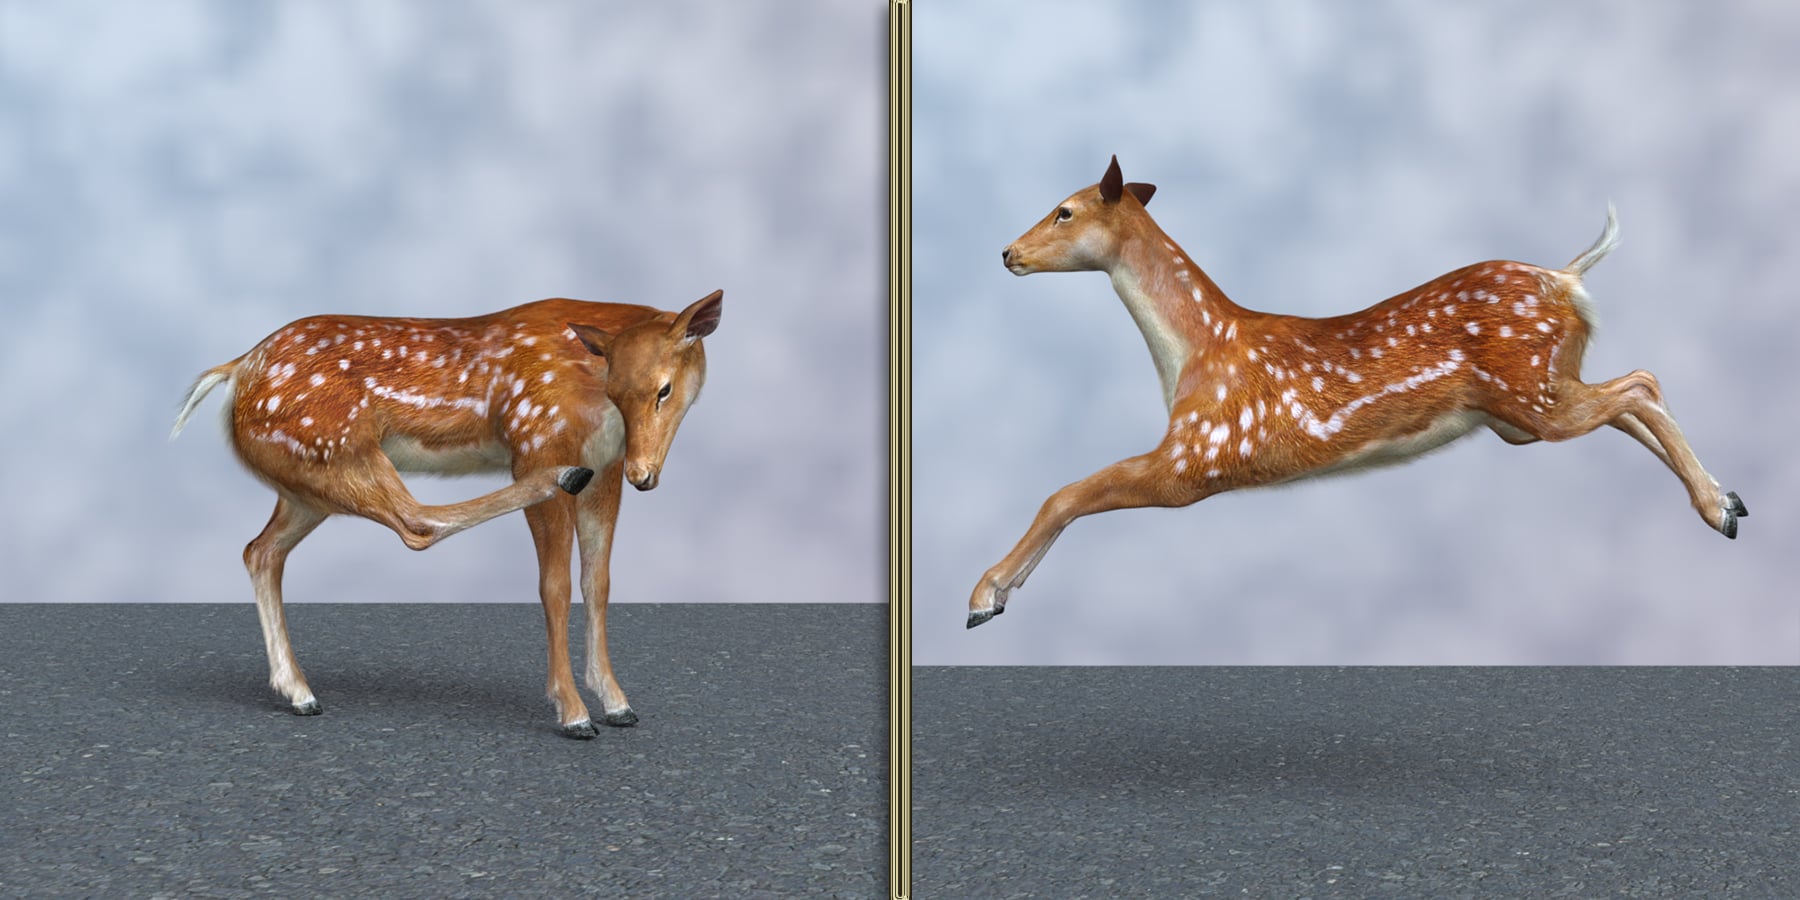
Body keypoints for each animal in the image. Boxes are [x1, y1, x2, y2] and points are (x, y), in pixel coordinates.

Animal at [172, 290, 723, 738]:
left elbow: (598, 582)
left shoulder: (607, 471)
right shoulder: (536, 438)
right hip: (340, 448)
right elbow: (555, 586)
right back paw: (561, 477)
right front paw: (573, 713)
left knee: (260, 551)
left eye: (665, 389)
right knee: (414, 523)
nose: (643, 474)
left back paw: (300, 693)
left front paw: (617, 703)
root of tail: (238, 368)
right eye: (617, 389)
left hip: (306, 483)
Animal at [967, 156, 1745, 629]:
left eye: (1065, 210)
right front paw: (996, 594)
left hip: (1529, 394)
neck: (1194, 356)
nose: (1006, 252)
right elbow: (1071, 492)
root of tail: (1567, 278)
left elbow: (1068, 492)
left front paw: (984, 596)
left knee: (1641, 385)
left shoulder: (1202, 455)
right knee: (1635, 391)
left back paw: (1719, 511)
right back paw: (1727, 500)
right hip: (1529, 403)